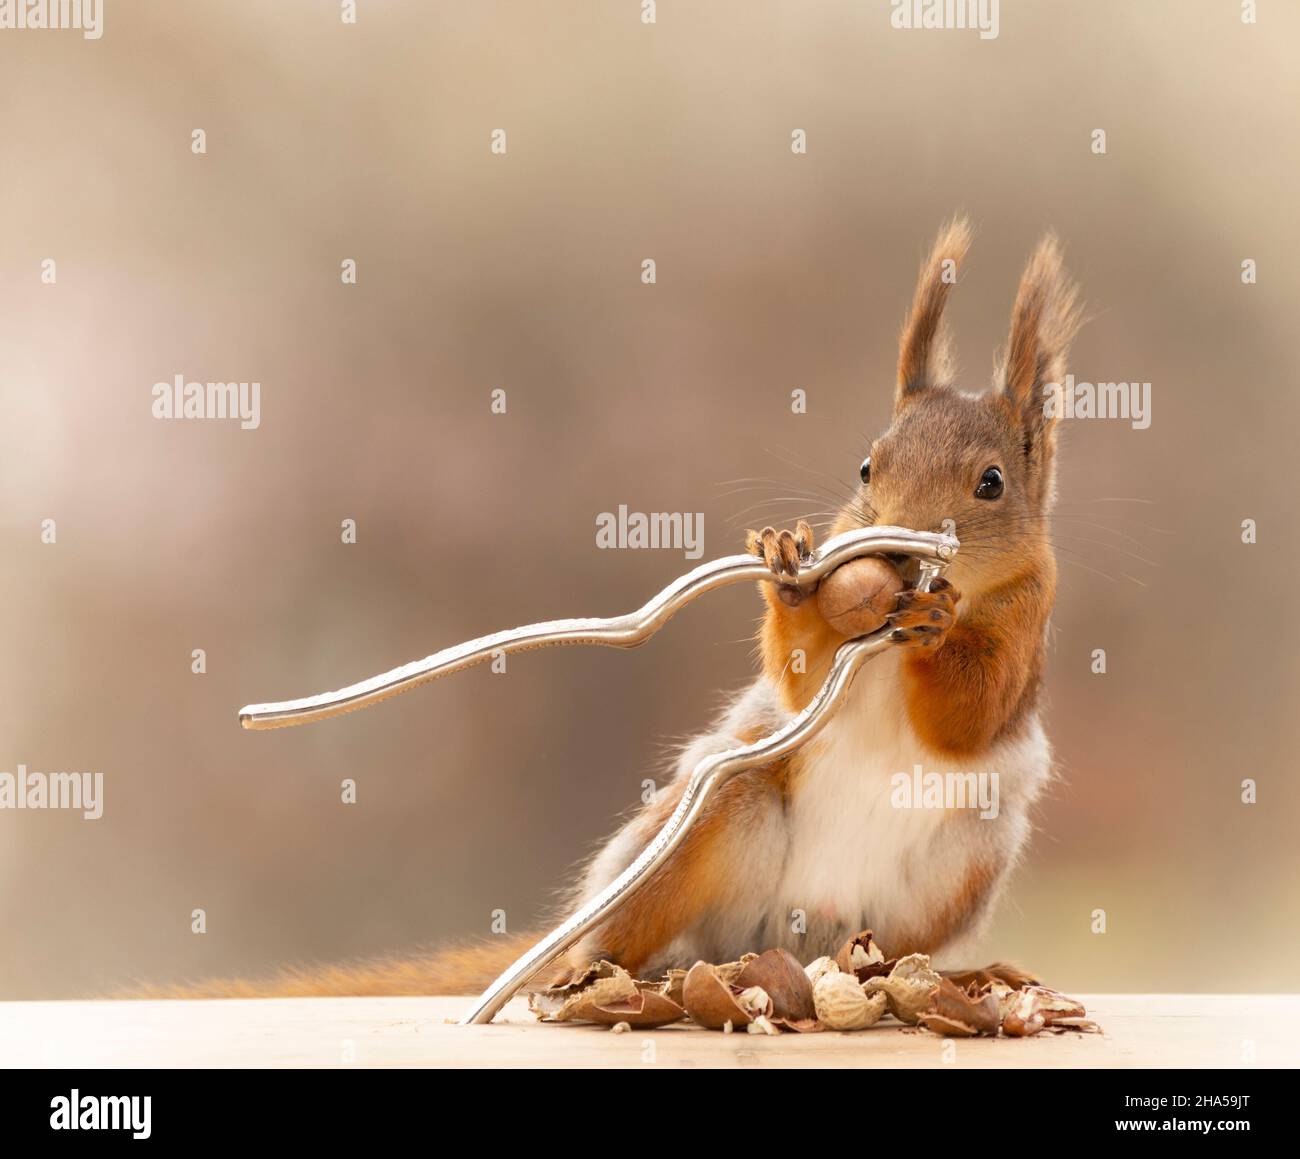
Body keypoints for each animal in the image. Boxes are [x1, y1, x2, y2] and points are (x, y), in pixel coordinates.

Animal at [152, 218, 1081, 1000]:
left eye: (991, 483)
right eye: (865, 466)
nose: (900, 551)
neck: (884, 640)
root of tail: (797, 936)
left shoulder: (1030, 627)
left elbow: (969, 715)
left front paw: (936, 627)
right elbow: (799, 672)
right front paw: (786, 567)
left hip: (958, 869)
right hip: (719, 815)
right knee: (635, 918)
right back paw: (590, 968)